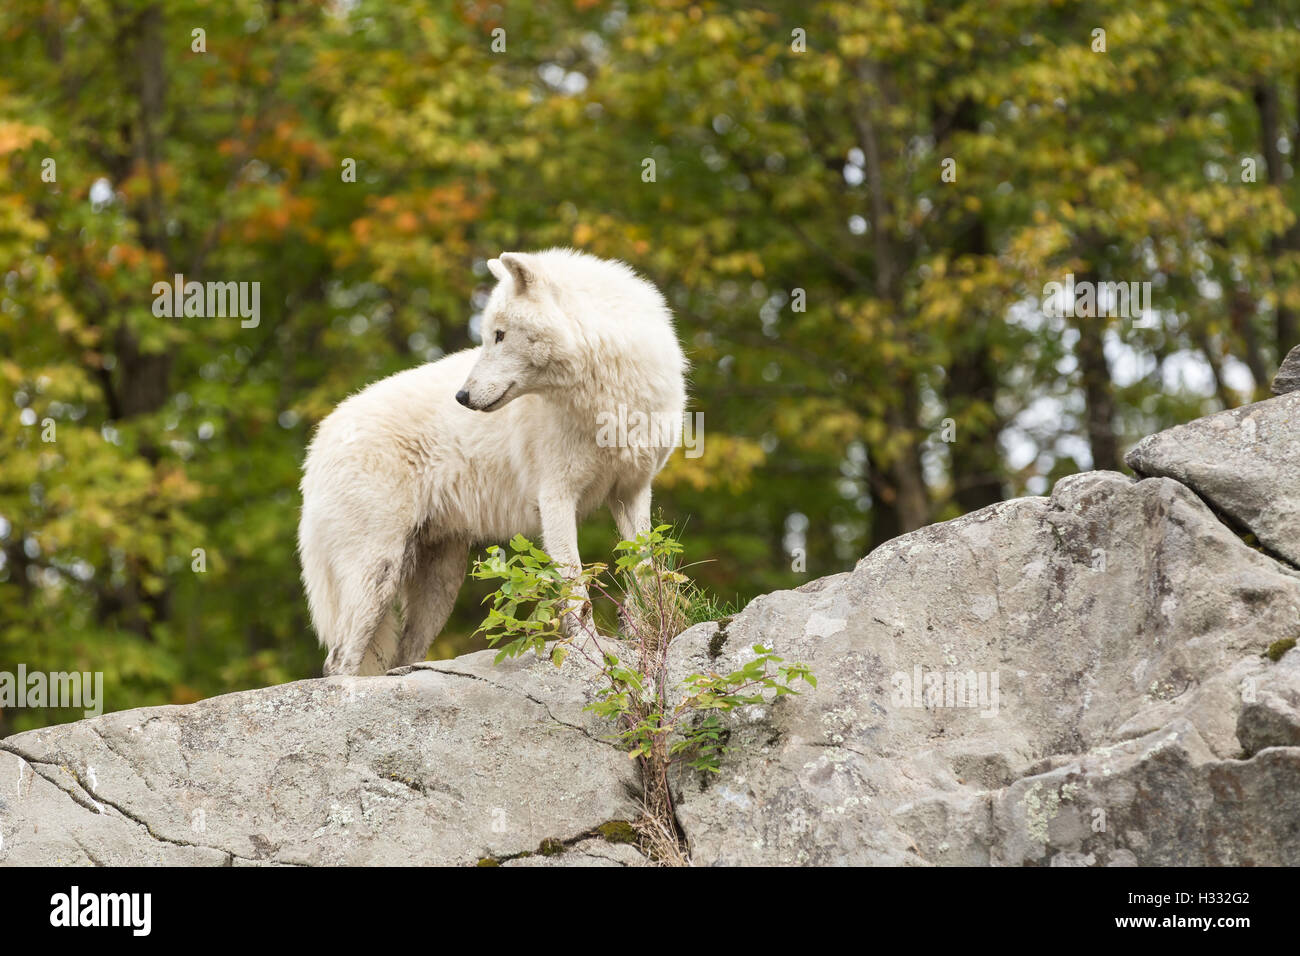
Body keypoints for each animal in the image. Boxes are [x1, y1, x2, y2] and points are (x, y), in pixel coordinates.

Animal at [298, 249, 688, 676]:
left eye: (499, 335)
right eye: (487, 336)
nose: (462, 397)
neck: (606, 394)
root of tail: (318, 443)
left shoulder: (632, 490)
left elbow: (645, 570)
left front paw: (648, 636)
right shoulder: (555, 498)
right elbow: (575, 586)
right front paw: (593, 652)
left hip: (440, 582)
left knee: (402, 656)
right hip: (377, 572)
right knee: (337, 663)